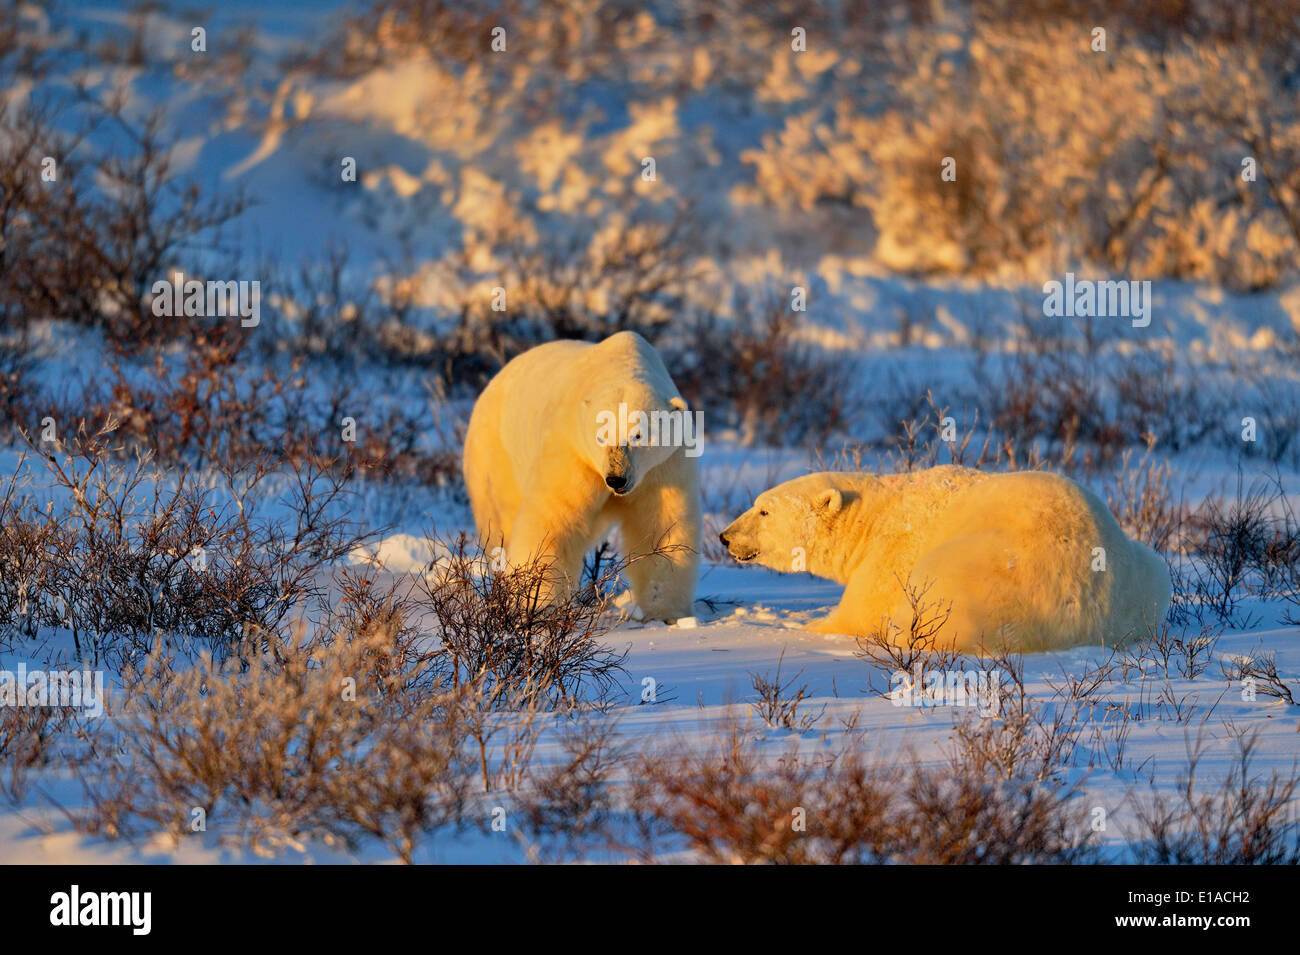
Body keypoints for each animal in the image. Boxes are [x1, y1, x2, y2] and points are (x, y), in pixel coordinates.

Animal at [462, 330, 701, 622]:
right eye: (601, 436)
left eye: (638, 434)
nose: (616, 479)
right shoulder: (573, 451)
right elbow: (555, 520)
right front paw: (538, 607)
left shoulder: (663, 466)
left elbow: (660, 527)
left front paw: (667, 613)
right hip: (495, 454)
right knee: (501, 521)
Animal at [719, 466, 1171, 652]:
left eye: (763, 511)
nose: (724, 537)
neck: (874, 515)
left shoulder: (893, 552)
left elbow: (861, 612)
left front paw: (810, 626)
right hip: (1144, 574)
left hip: (979, 569)